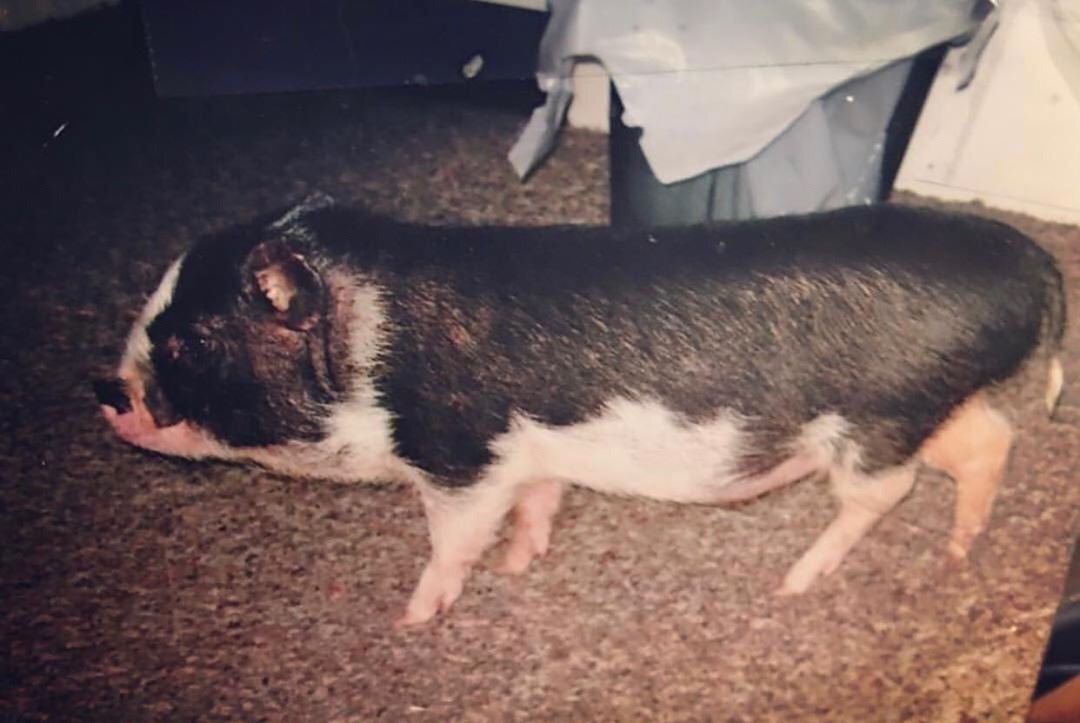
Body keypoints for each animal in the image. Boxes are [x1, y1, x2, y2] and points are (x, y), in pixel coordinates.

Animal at [95, 193, 1066, 626]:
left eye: (189, 342)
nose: (104, 392)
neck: (369, 341)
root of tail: (1032, 266)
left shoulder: (462, 453)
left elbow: (454, 537)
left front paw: (414, 616)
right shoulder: (529, 455)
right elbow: (540, 500)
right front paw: (523, 563)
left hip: (875, 422)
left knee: (883, 492)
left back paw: (793, 582)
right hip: (935, 407)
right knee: (992, 438)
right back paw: (957, 552)